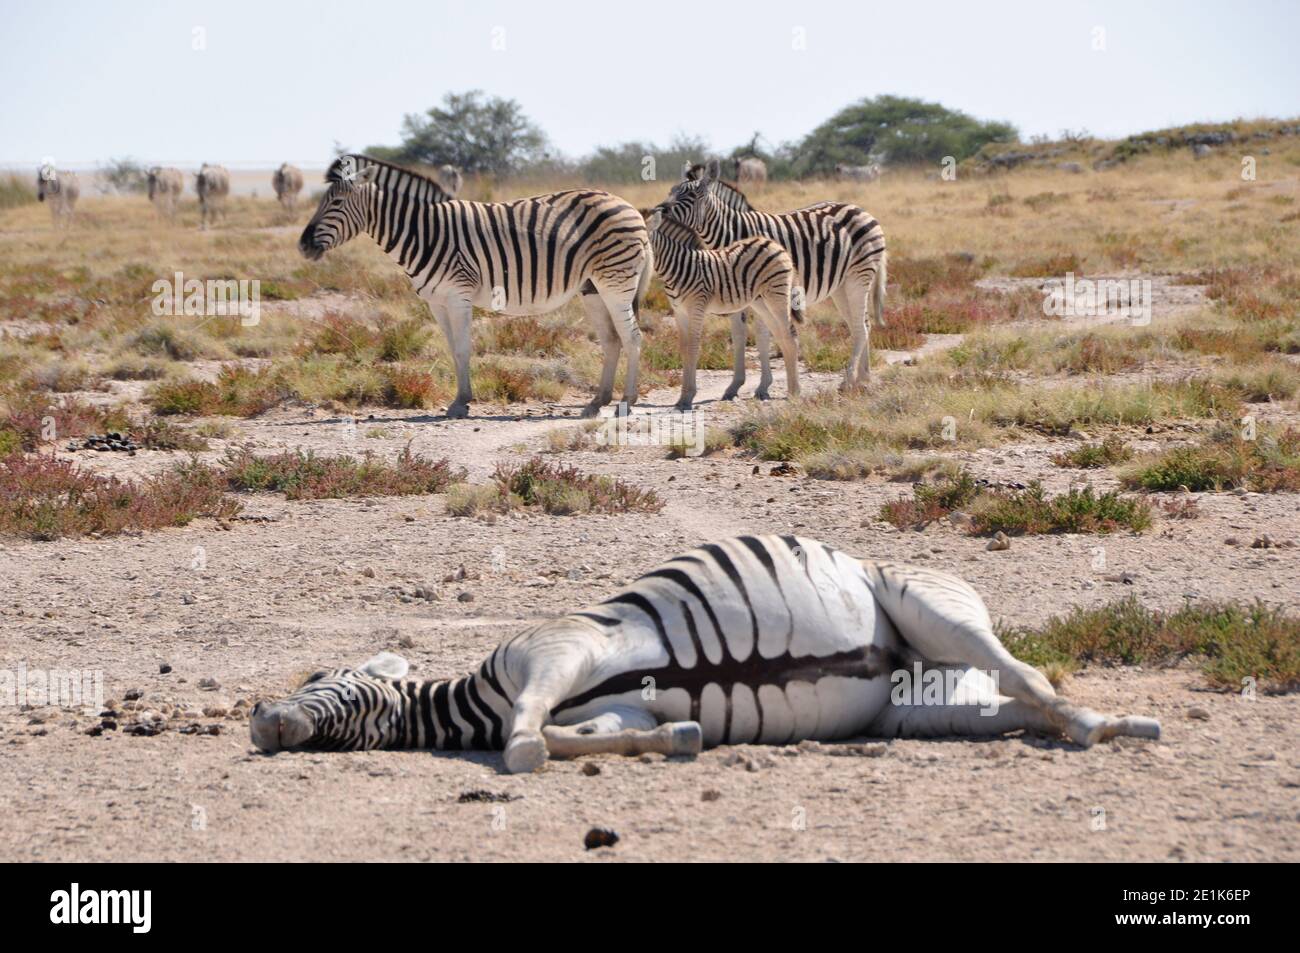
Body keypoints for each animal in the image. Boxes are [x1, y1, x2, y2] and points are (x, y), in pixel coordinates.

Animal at [251, 534, 1161, 772]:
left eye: (318, 676)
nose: (259, 718)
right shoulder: (612, 703)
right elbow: (578, 732)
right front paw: (679, 734)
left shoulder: (557, 648)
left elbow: (524, 740)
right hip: (924, 709)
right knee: (1012, 707)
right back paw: (1115, 725)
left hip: (924, 602)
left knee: (1029, 673)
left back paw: (1102, 727)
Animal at [299, 154, 651, 419]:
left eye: (336, 202)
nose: (303, 246)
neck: (424, 231)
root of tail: (631, 207)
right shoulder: (437, 301)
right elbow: (453, 349)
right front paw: (460, 399)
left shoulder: (459, 295)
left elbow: (463, 348)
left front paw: (461, 403)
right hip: (593, 288)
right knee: (612, 340)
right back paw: (597, 402)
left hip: (615, 282)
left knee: (633, 337)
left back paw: (626, 402)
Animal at [645, 208, 801, 410]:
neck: (677, 268)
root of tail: (774, 244)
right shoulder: (679, 312)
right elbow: (684, 348)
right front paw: (682, 398)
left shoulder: (697, 307)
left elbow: (693, 347)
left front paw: (688, 398)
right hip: (761, 302)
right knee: (782, 335)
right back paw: (788, 390)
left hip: (777, 295)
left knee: (790, 335)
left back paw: (794, 392)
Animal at [661, 158, 886, 390]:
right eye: (671, 191)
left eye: (692, 195)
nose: (661, 211)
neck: (733, 235)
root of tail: (861, 209)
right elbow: (740, 335)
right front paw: (736, 385)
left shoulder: (761, 291)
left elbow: (762, 336)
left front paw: (763, 386)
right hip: (841, 286)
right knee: (862, 324)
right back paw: (863, 376)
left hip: (859, 276)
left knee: (860, 326)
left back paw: (849, 380)